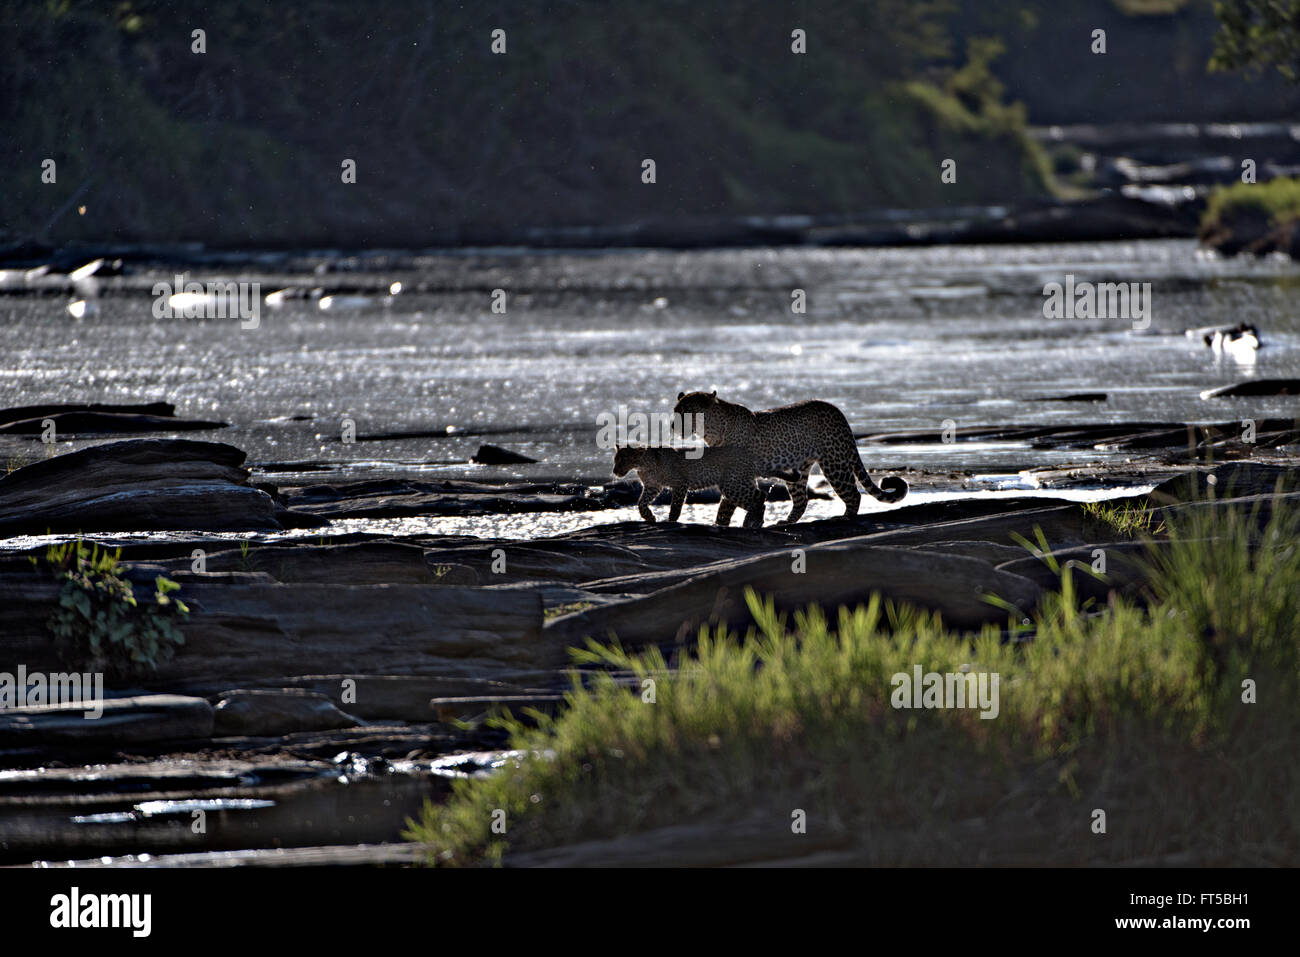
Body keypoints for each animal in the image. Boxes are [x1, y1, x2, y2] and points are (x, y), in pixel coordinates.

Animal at [611, 444, 767, 528]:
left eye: (623, 460)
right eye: (615, 459)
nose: (614, 471)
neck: (643, 466)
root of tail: (750, 456)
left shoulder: (680, 484)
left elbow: (676, 506)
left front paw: (671, 521)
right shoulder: (653, 486)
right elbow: (641, 503)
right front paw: (649, 517)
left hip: (731, 485)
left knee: (761, 496)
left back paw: (752, 522)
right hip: (739, 483)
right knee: (758, 496)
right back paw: (752, 522)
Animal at [672, 390, 906, 523]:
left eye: (686, 412)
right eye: (675, 411)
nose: (673, 425)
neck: (712, 431)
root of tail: (838, 412)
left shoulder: (736, 474)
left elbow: (729, 504)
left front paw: (724, 523)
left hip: (834, 462)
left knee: (853, 493)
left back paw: (845, 517)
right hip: (801, 469)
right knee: (802, 500)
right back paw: (786, 522)